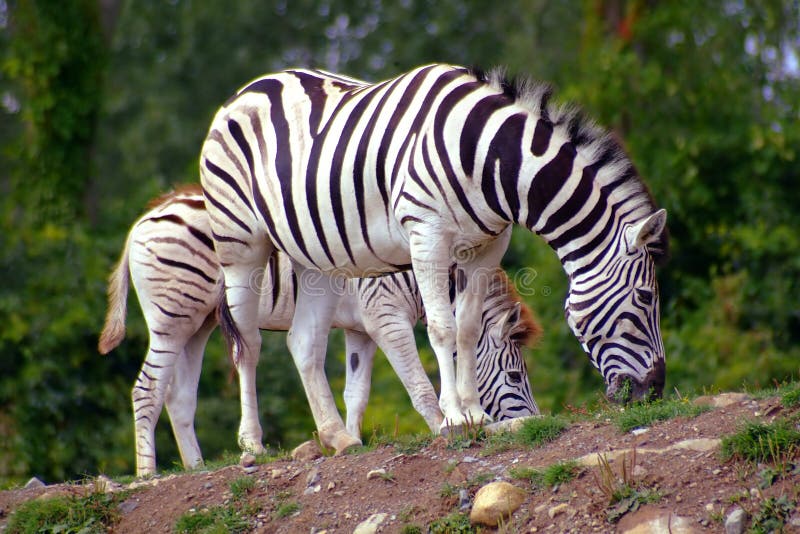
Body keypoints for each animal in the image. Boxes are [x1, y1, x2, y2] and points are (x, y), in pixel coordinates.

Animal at [98, 185, 541, 476]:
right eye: (514, 376)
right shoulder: (384, 314)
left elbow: (356, 393)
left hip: (198, 323)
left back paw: (196, 467)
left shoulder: (360, 330)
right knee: (147, 389)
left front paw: (349, 440)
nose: (537, 423)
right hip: (172, 317)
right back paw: (147, 474)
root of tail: (143, 220)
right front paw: (444, 427)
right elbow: (416, 381)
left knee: (179, 396)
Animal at [199, 63, 668, 454]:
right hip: (240, 243)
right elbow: (442, 329)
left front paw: (474, 414)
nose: (655, 392)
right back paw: (252, 444)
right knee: (247, 344)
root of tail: (253, 86)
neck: (490, 159)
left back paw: (338, 438)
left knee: (303, 342)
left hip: (317, 260)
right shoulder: (426, 238)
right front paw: (454, 419)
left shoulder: (485, 248)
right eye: (646, 298)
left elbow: (467, 329)